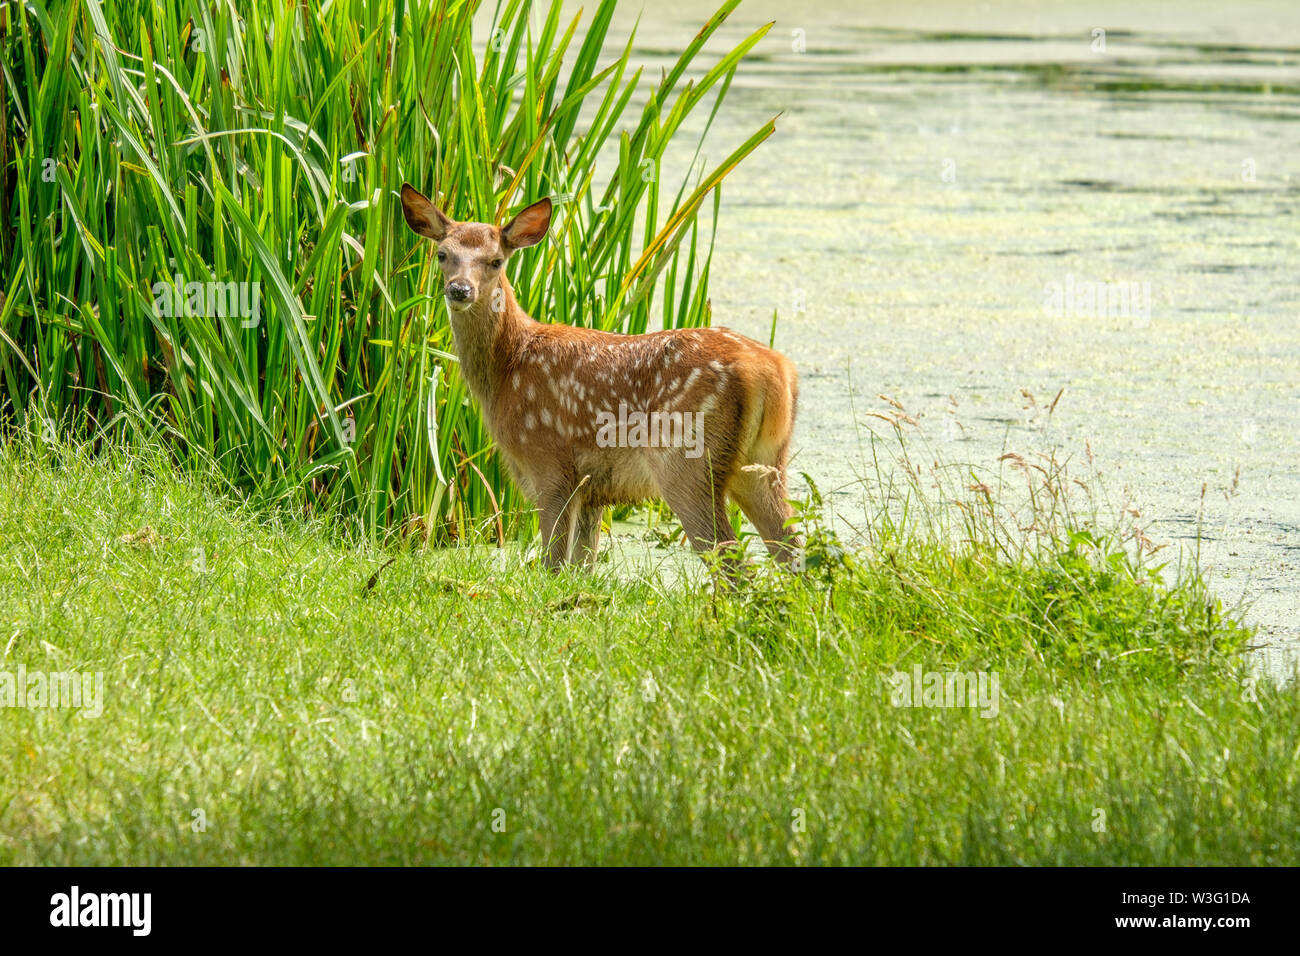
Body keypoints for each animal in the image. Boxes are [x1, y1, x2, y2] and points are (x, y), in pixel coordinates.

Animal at [400, 183, 803, 576]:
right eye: (442, 254)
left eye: (496, 260)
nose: (459, 290)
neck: (507, 369)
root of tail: (772, 369)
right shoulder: (593, 489)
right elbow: (582, 568)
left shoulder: (551, 463)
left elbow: (553, 565)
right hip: (765, 463)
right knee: (794, 553)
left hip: (684, 458)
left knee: (734, 564)